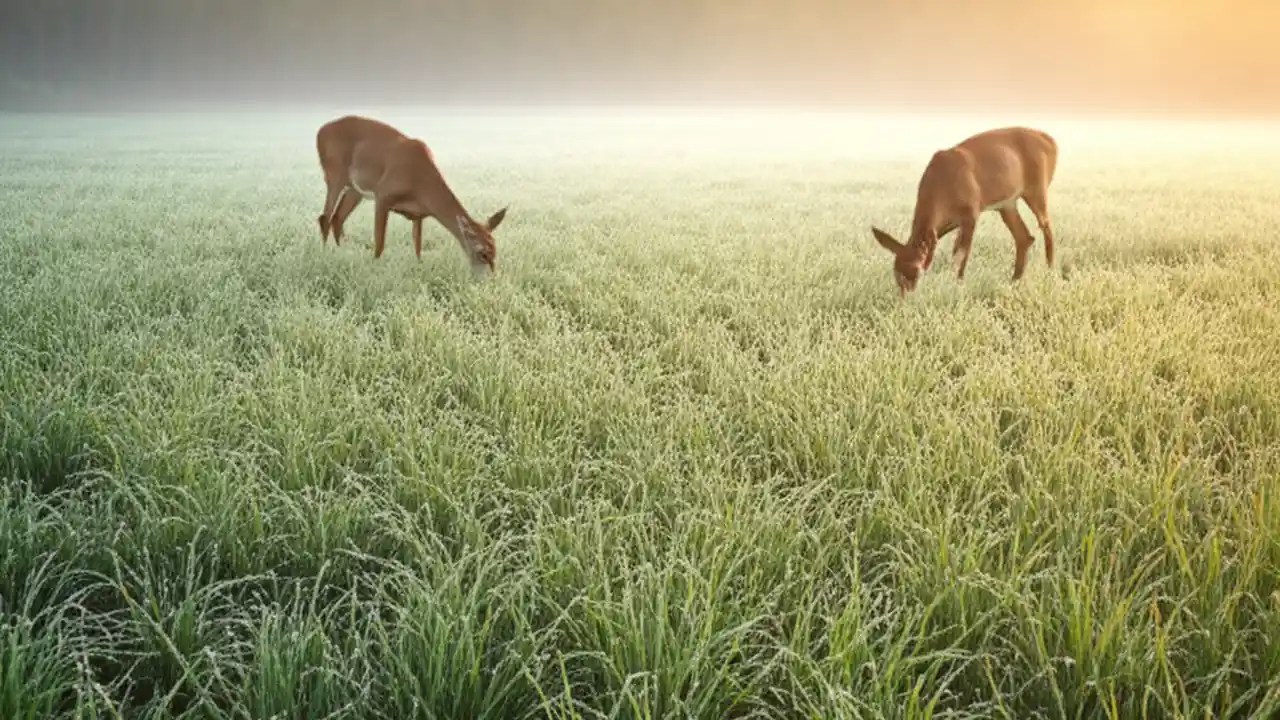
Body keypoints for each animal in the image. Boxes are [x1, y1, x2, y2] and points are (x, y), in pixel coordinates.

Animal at [315, 115, 508, 276]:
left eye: (495, 250)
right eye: (482, 253)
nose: (490, 277)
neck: (421, 181)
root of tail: (320, 131)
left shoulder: (419, 214)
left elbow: (417, 246)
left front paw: (418, 269)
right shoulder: (383, 195)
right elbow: (379, 243)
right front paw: (375, 272)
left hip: (354, 189)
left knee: (338, 217)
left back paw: (342, 253)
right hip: (334, 174)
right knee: (325, 216)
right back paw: (325, 256)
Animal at [869, 126, 1058, 297]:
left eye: (916, 272)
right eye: (896, 274)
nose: (905, 297)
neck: (941, 187)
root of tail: (1051, 141)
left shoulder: (971, 212)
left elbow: (961, 254)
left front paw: (957, 285)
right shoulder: (948, 223)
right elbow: (953, 250)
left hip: (1037, 188)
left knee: (1046, 225)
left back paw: (1049, 270)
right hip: (1007, 204)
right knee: (1025, 237)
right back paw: (1015, 280)